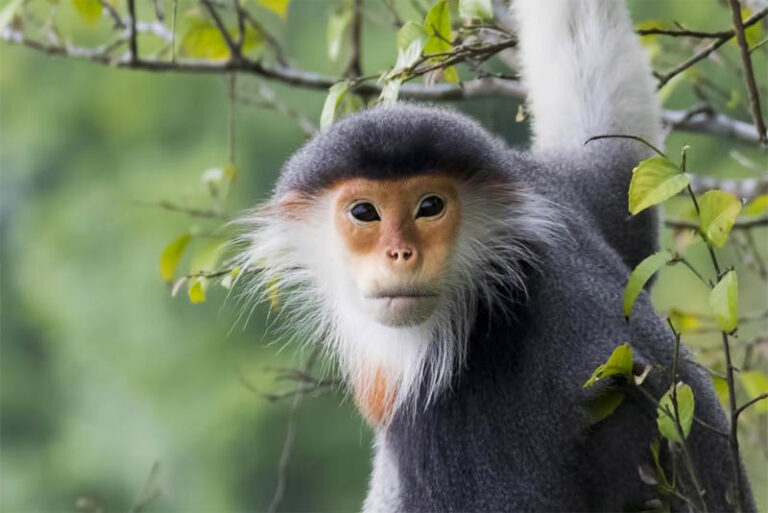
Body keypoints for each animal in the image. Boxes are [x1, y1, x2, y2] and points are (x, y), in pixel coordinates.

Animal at [235, 0, 756, 511]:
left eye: (430, 207)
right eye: (365, 213)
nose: (401, 253)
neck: (492, 282)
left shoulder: (476, 402)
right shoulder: (569, 194)